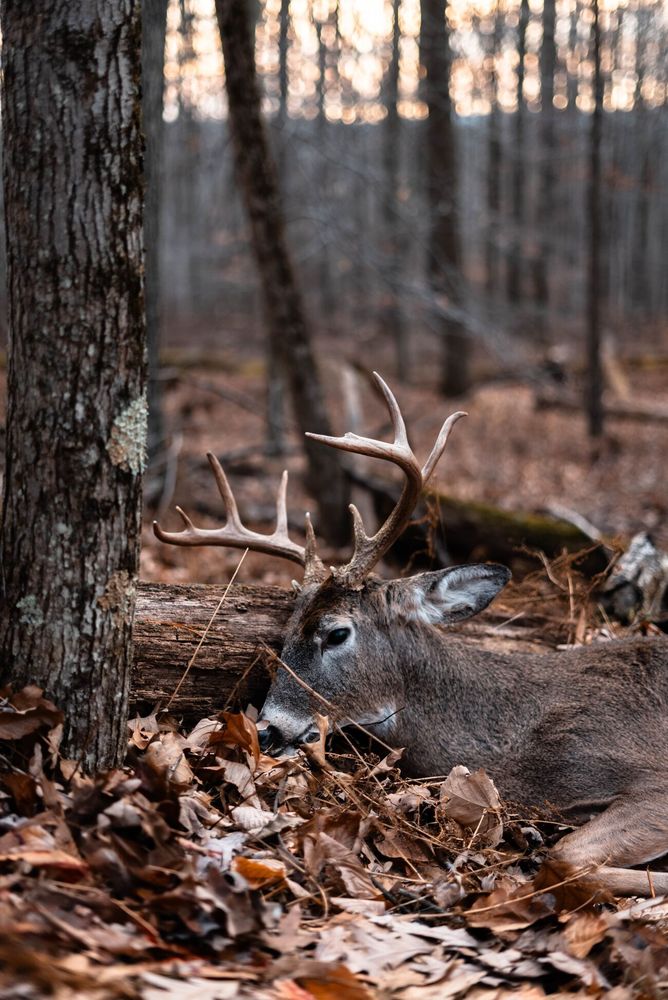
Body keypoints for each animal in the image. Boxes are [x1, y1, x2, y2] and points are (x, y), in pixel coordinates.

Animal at [155, 372, 668, 897]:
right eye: (285, 635)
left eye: (336, 633)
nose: (267, 728)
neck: (507, 738)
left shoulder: (648, 775)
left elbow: (564, 854)